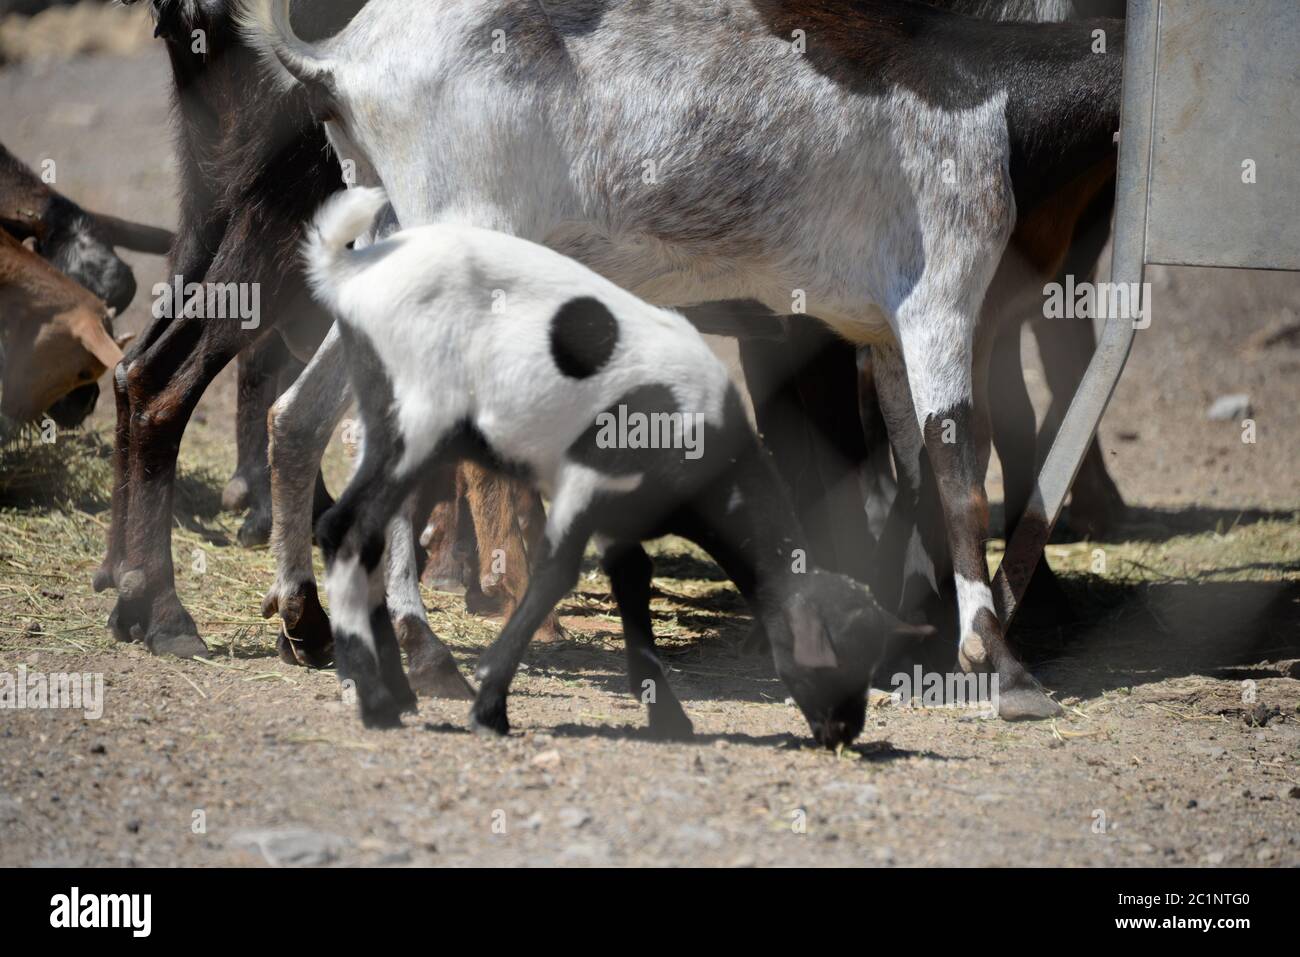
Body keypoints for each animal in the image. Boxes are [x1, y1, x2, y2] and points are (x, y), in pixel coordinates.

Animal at [306, 187, 927, 745]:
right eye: (834, 662)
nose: (844, 733)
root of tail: (351, 270)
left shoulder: (623, 512)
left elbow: (633, 581)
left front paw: (666, 715)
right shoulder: (588, 481)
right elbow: (557, 575)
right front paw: (489, 706)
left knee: (355, 534)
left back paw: (387, 688)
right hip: (418, 422)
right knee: (348, 529)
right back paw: (377, 697)